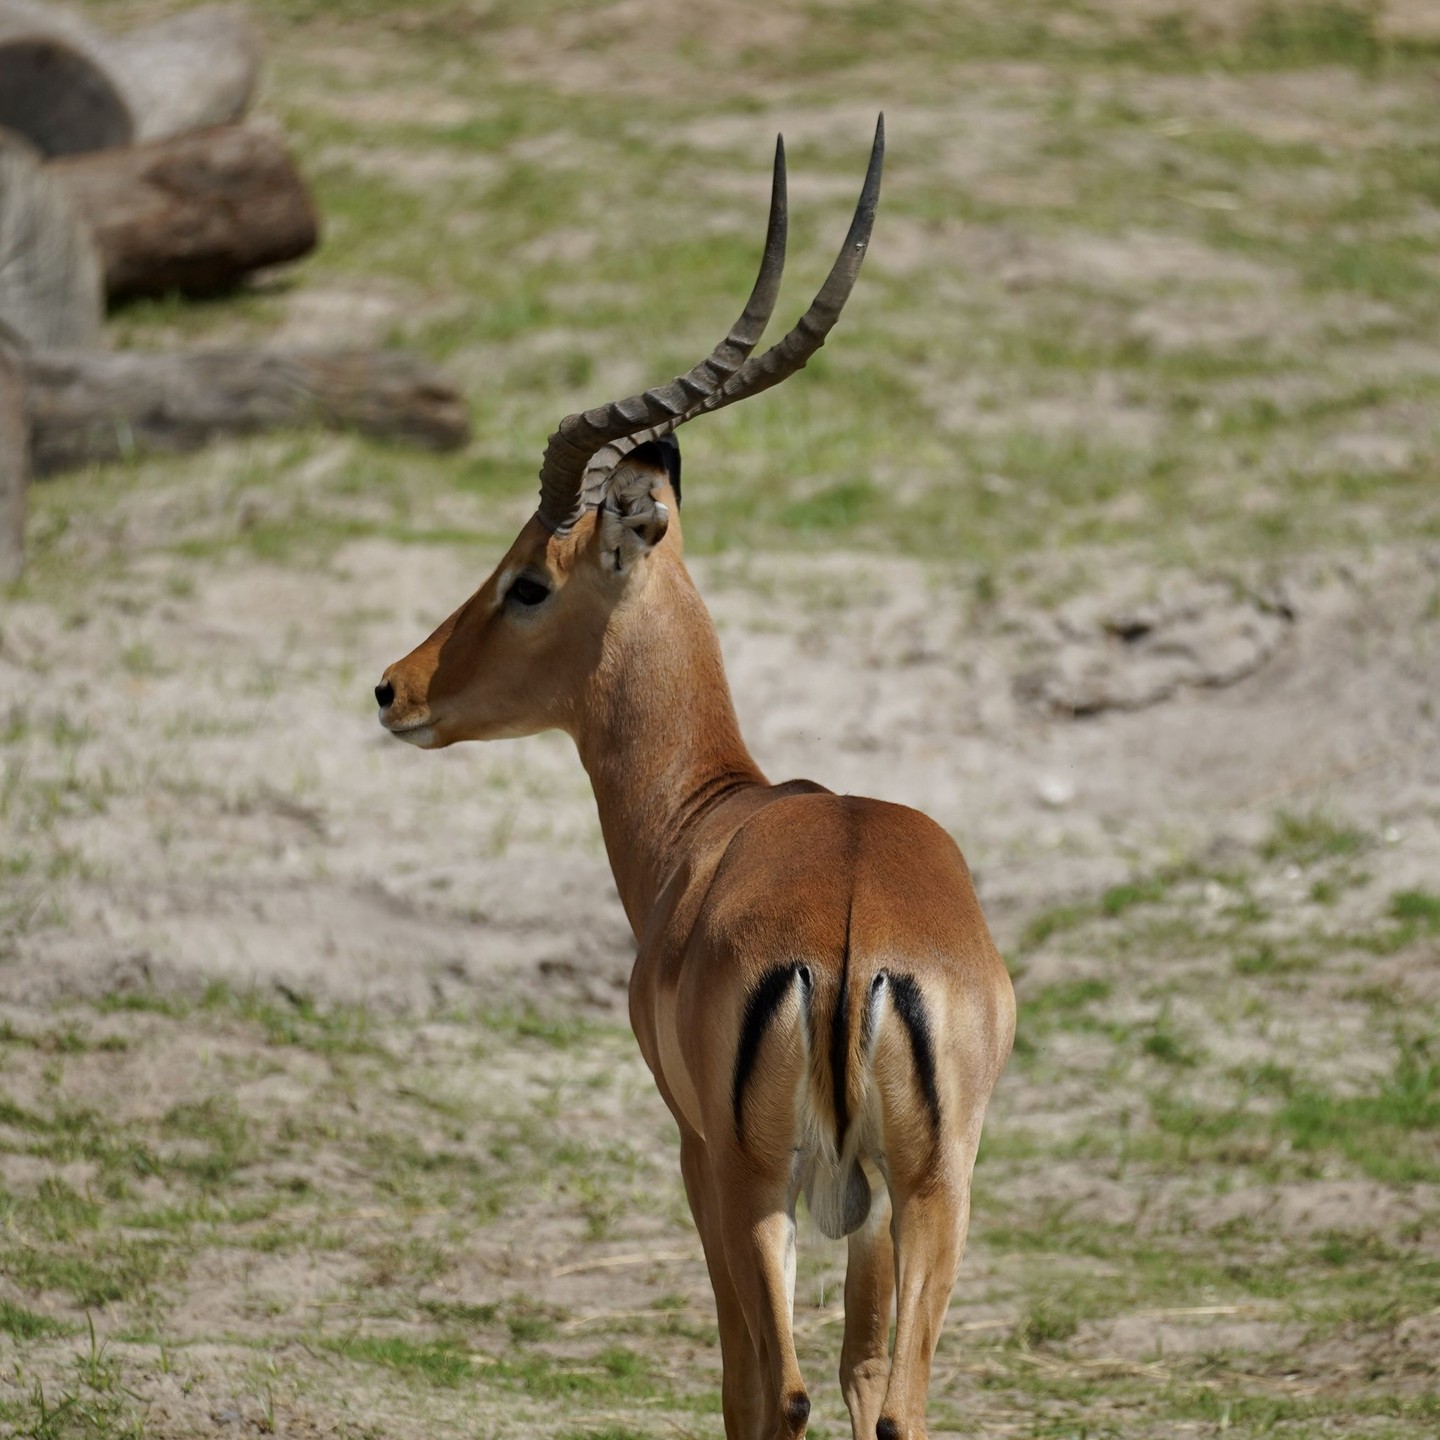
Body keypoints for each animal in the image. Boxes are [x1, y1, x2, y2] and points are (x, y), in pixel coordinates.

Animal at [375, 118, 1015, 1440]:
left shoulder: (692, 1153)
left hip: (754, 1181)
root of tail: (855, 941)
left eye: (527, 578)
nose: (395, 690)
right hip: (934, 1189)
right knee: (893, 1403)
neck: (711, 814)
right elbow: (867, 1376)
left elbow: (743, 1385)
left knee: (777, 1392)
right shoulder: (872, 1213)